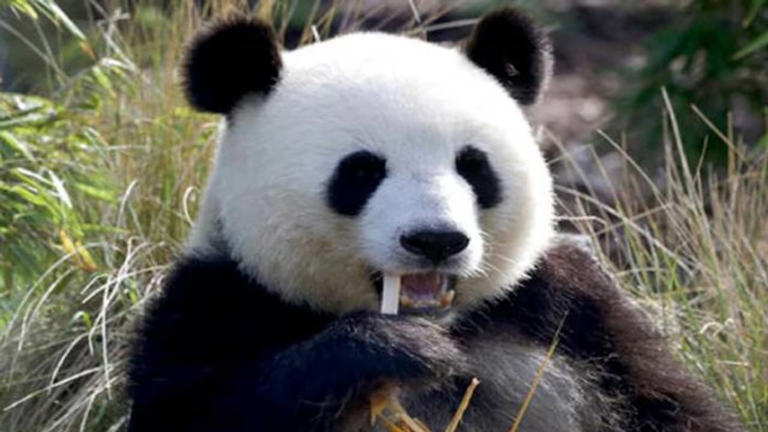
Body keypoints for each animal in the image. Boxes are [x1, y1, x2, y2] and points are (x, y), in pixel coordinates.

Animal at [127, 8, 741, 432]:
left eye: (472, 165)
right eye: (360, 172)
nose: (436, 240)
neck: (446, 324)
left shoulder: (571, 310)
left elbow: (666, 404)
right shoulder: (218, 299)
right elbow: (192, 409)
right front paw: (386, 349)